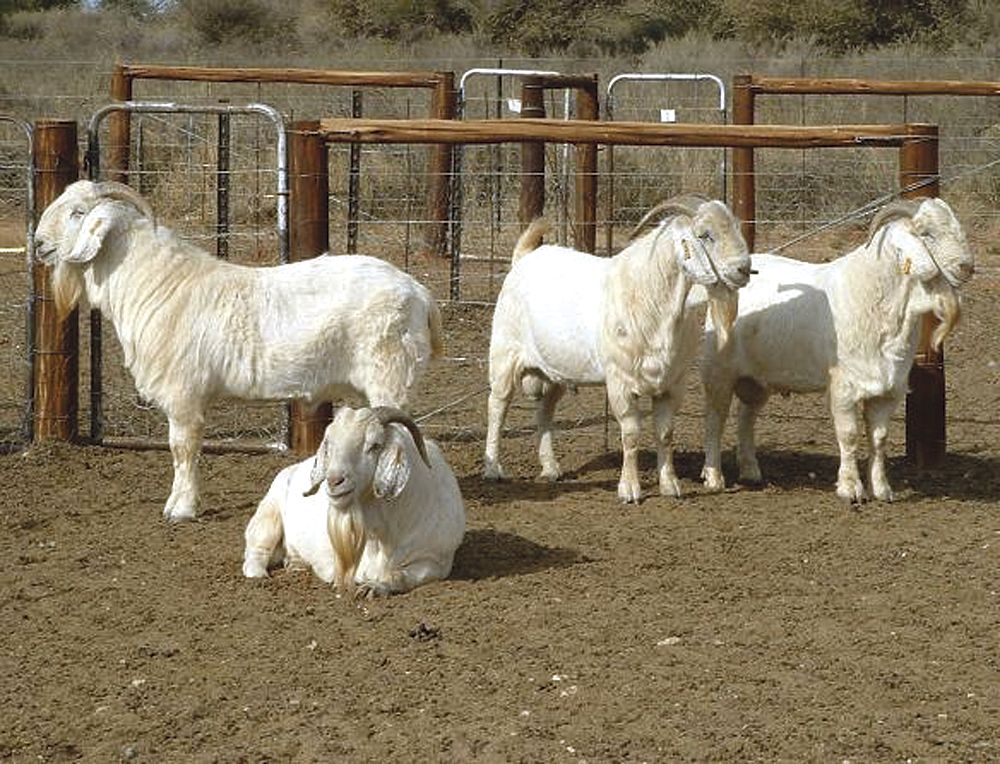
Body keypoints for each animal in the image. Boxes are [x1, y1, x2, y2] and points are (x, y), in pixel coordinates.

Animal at [34, 180, 443, 522]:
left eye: (78, 212)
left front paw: (181, 509)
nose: (37, 244)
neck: (158, 283)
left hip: (390, 373)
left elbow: (182, 449)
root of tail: (420, 293)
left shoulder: (183, 396)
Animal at [243, 406, 465, 596]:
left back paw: (295, 563)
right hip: (267, 518)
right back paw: (259, 574)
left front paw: (374, 588)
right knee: (256, 551)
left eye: (374, 445)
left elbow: (399, 575)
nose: (334, 481)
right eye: (329, 444)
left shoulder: (436, 561)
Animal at [483, 196, 752, 503]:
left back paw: (551, 469)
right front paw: (629, 490)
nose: (744, 268)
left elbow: (665, 433)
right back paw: (493, 469)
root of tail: (524, 257)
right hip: (504, 356)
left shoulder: (672, 384)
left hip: (555, 373)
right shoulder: (620, 381)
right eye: (705, 235)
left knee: (544, 413)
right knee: (497, 406)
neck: (651, 298)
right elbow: (631, 433)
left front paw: (670, 486)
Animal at [700, 197, 974, 502]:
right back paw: (713, 477)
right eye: (926, 233)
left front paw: (881, 489)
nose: (966, 266)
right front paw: (850, 488)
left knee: (746, 416)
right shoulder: (844, 385)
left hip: (758, 379)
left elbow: (879, 438)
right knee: (715, 419)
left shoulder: (889, 389)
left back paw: (750, 471)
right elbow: (849, 434)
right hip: (718, 371)